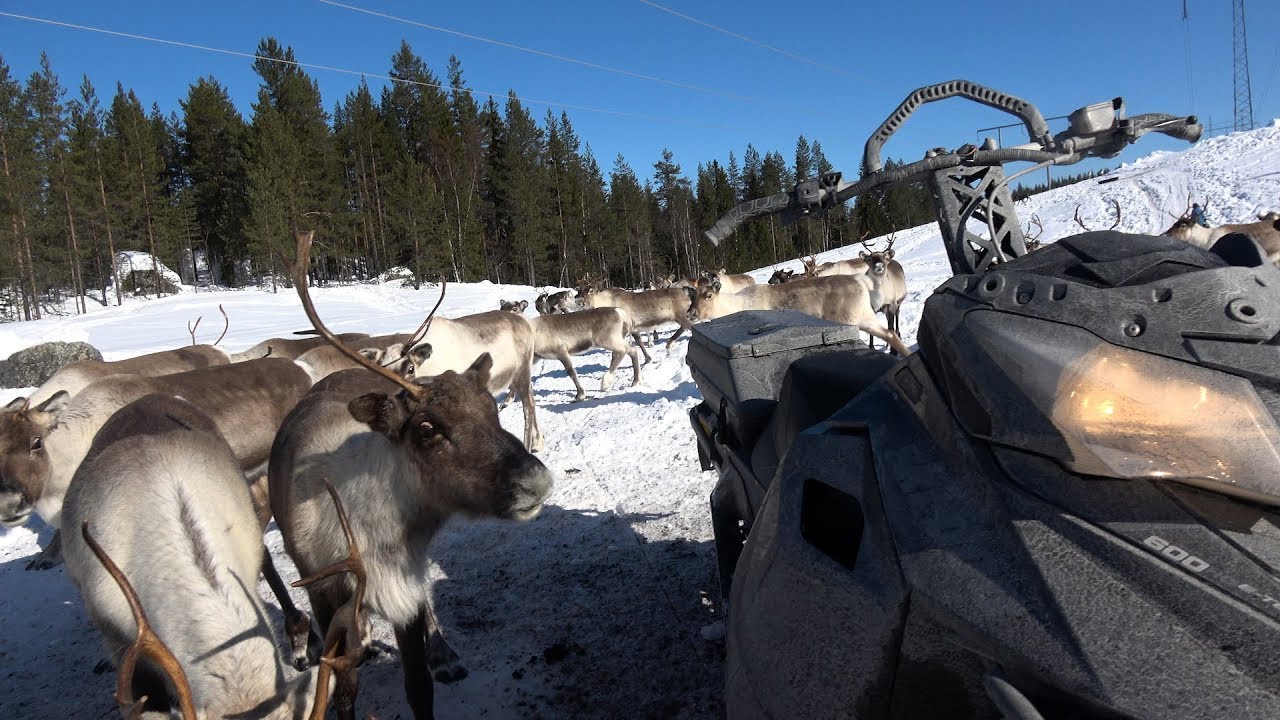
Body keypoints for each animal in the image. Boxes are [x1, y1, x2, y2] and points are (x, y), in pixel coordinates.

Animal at [269, 230, 555, 719]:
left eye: (491, 408)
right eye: (426, 428)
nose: (535, 481)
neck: (373, 532)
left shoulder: (405, 583)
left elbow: (419, 686)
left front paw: (434, 661)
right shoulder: (323, 588)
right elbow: (343, 690)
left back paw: (443, 653)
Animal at [500, 299, 642, 401]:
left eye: (514, 308)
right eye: (501, 308)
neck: (533, 331)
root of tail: (622, 313)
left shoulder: (561, 351)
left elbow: (571, 372)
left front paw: (580, 394)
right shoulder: (536, 357)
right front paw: (506, 402)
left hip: (607, 340)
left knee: (624, 351)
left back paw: (605, 383)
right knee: (632, 350)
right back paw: (635, 381)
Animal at [685, 274, 912, 356]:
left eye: (708, 295)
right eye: (691, 296)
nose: (690, 313)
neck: (735, 305)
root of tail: (861, 280)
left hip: (852, 318)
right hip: (864, 316)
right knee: (891, 334)